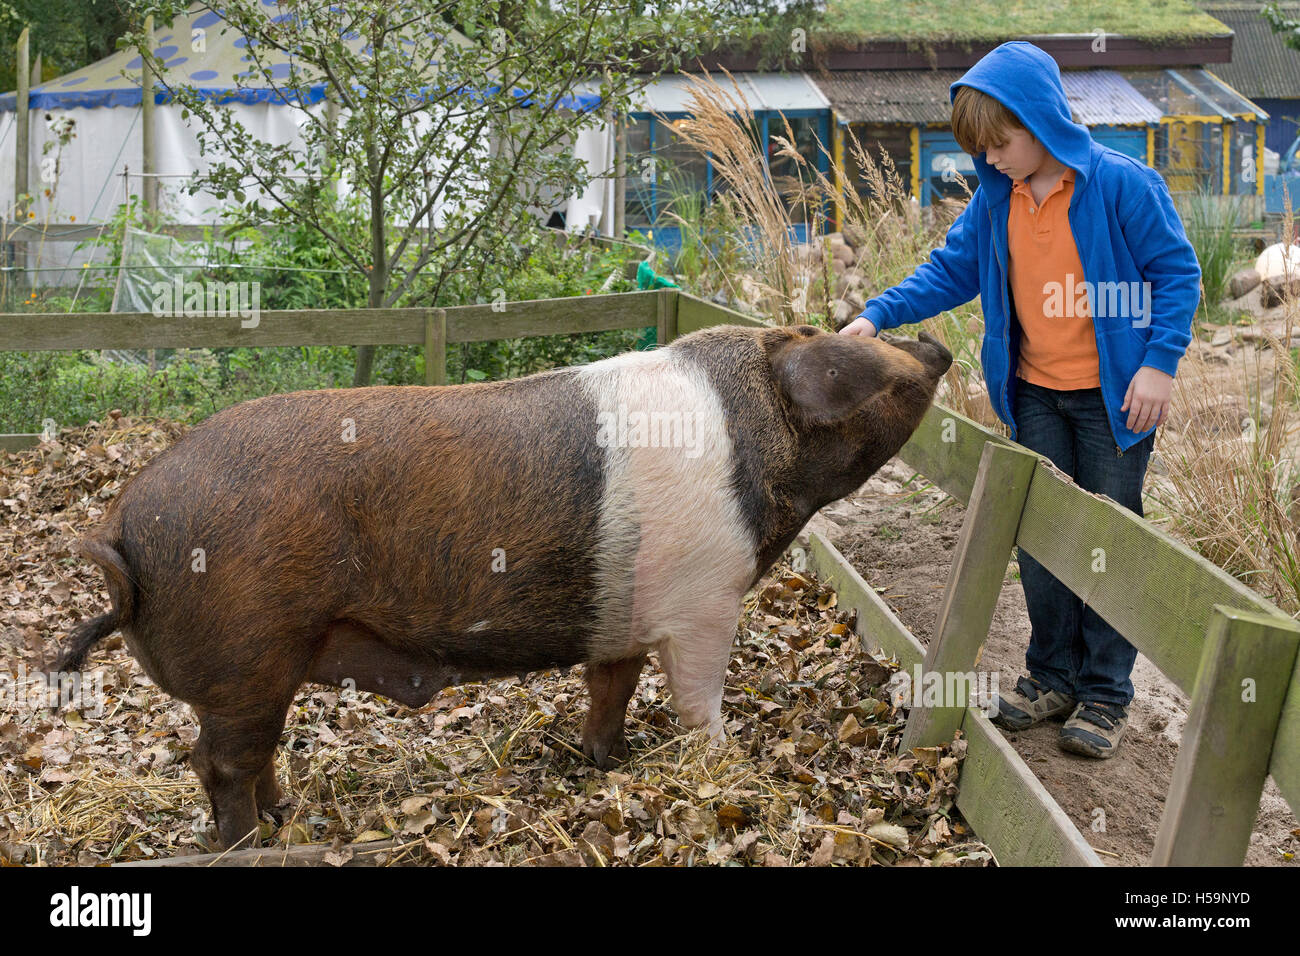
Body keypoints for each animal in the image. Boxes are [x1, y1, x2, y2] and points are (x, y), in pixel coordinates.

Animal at [57, 323, 951, 848]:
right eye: (886, 373)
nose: (937, 341)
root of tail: (122, 524)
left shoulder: (623, 615)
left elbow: (611, 684)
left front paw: (604, 761)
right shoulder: (707, 601)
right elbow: (699, 702)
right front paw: (723, 761)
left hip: (263, 670)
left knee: (244, 753)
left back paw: (283, 816)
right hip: (249, 656)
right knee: (219, 763)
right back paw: (254, 842)